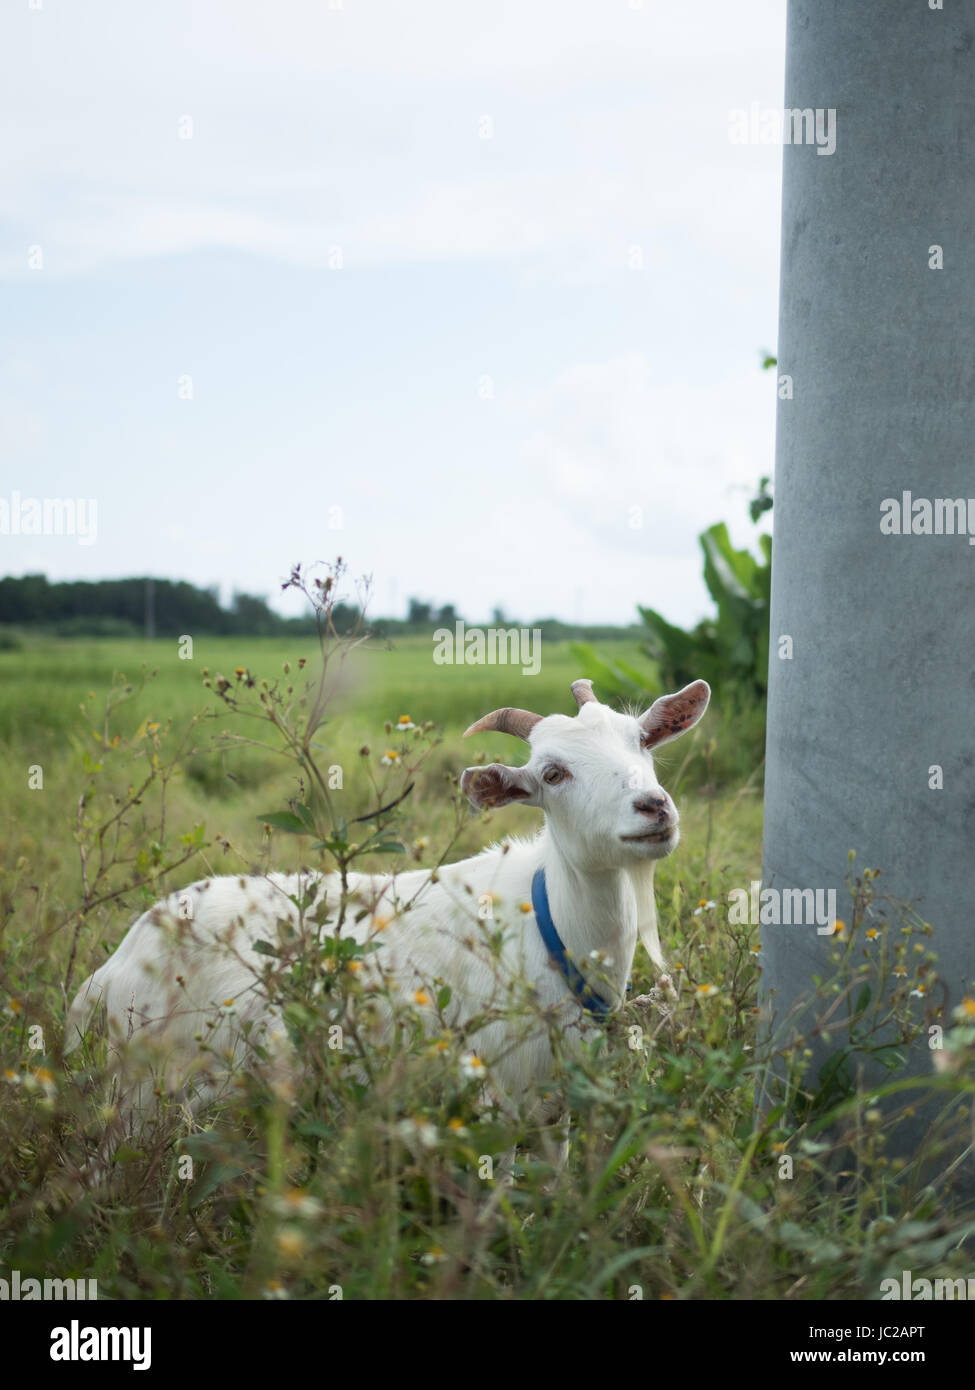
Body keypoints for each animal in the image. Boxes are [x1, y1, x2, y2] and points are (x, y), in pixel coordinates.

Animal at [65, 677, 709, 1159]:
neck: (548, 922)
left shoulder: (559, 1095)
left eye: (642, 743)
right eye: (553, 774)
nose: (653, 807)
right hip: (144, 1087)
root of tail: (120, 958)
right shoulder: (498, 1092)